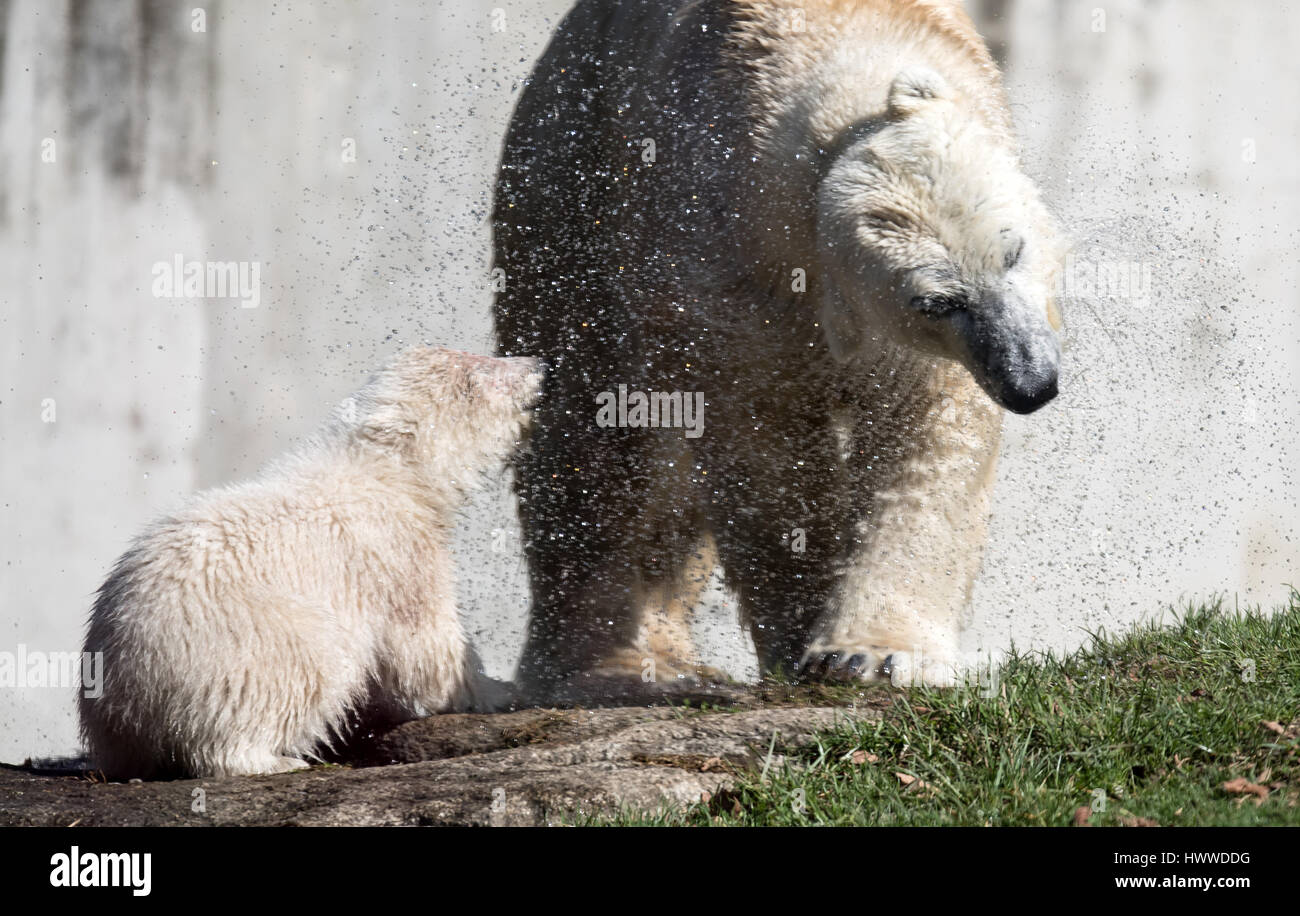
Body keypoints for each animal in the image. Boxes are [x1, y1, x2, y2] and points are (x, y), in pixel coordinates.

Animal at [79, 347, 543, 778]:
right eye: (484, 369)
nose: (538, 363)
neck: (388, 474)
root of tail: (127, 691)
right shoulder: (396, 554)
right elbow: (427, 650)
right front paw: (502, 690)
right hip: (243, 639)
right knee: (300, 669)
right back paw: (274, 759)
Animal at [492, 0, 1066, 696]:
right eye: (937, 300)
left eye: (1013, 251)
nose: (1031, 382)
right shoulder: (727, 269)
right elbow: (767, 446)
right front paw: (809, 645)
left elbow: (924, 436)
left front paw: (878, 653)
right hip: (570, 186)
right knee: (598, 427)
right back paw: (608, 665)